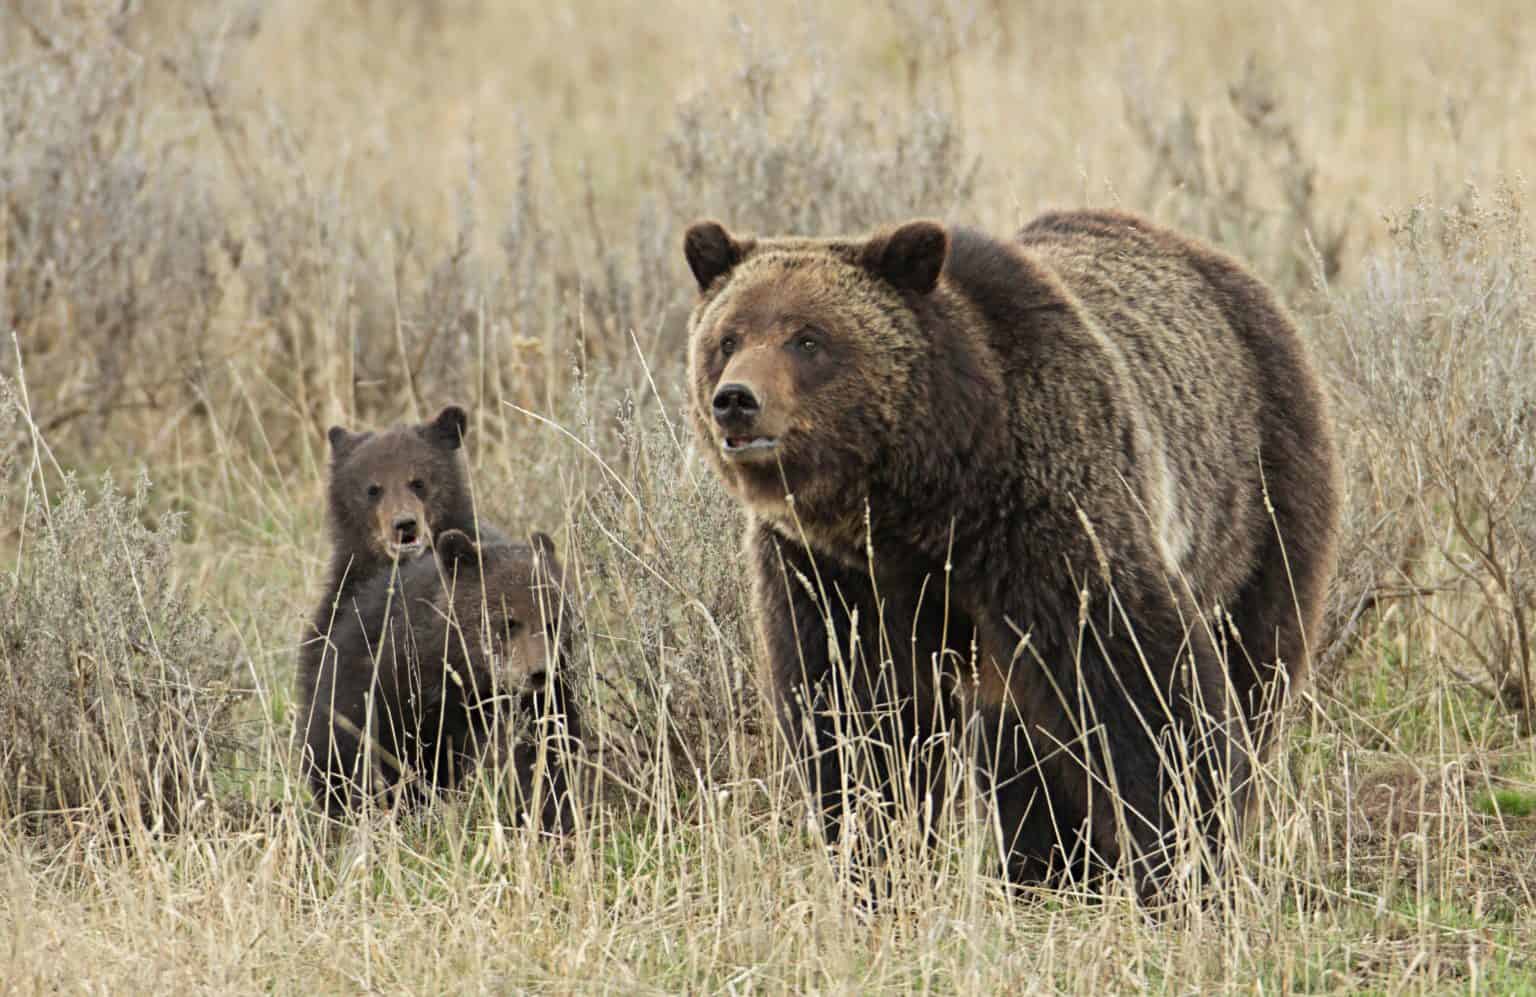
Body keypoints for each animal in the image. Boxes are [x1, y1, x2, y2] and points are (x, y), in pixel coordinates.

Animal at [297, 527, 584, 830]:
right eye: (508, 622)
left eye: (553, 621)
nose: (540, 672)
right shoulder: (400, 695)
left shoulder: (545, 706)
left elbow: (548, 757)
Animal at [682, 209, 1339, 897]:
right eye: (728, 338)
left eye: (808, 339)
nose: (736, 399)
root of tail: (1211, 260)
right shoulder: (828, 572)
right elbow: (855, 712)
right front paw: (875, 858)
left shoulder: (1046, 517)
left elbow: (1142, 683)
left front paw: (1185, 858)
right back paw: (1045, 865)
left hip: (1258, 496)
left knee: (1256, 660)